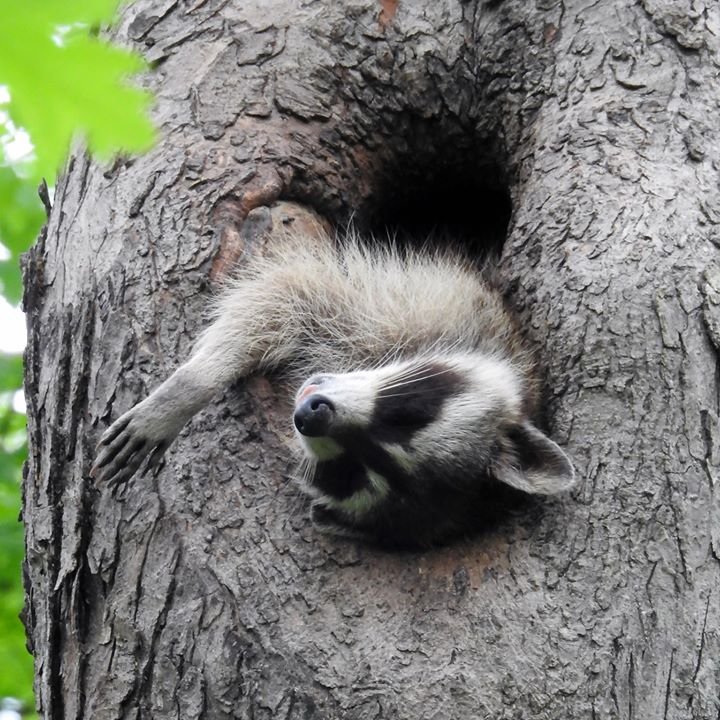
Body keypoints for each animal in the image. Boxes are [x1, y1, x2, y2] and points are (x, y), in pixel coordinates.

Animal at [92, 226, 574, 545]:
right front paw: (192, 386)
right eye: (405, 416)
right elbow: (284, 296)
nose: (312, 415)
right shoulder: (430, 306)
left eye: (349, 475)